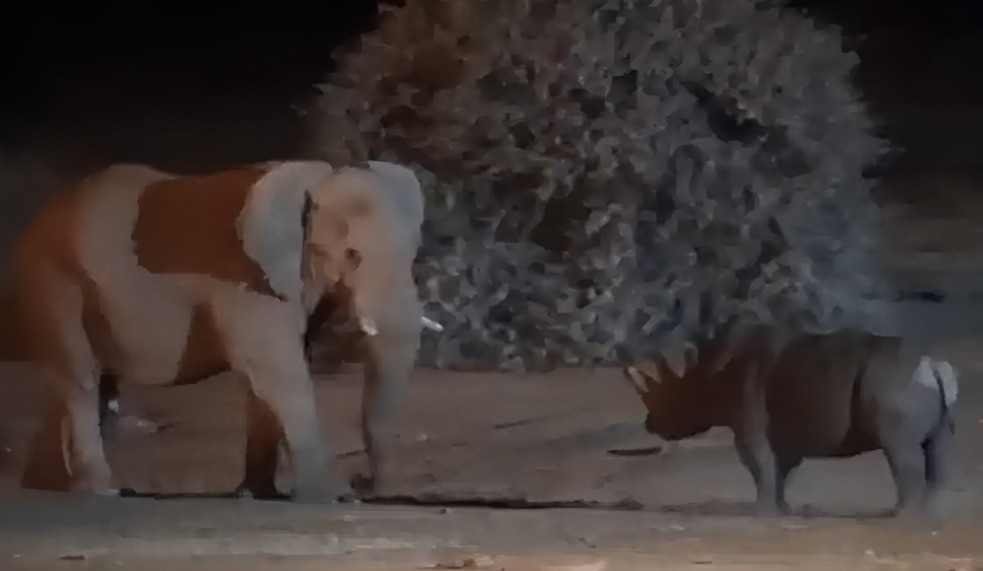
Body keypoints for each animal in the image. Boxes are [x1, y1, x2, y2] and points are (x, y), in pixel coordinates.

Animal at [623, 323, 959, 518]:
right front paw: (781, 509)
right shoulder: (785, 432)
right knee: (937, 448)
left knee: (899, 449)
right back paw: (930, 515)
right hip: (906, 383)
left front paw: (759, 512)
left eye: (672, 398)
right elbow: (781, 468)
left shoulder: (749, 423)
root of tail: (933, 365)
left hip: (892, 382)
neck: (708, 376)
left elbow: (757, 464)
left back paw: (902, 515)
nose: (650, 424)